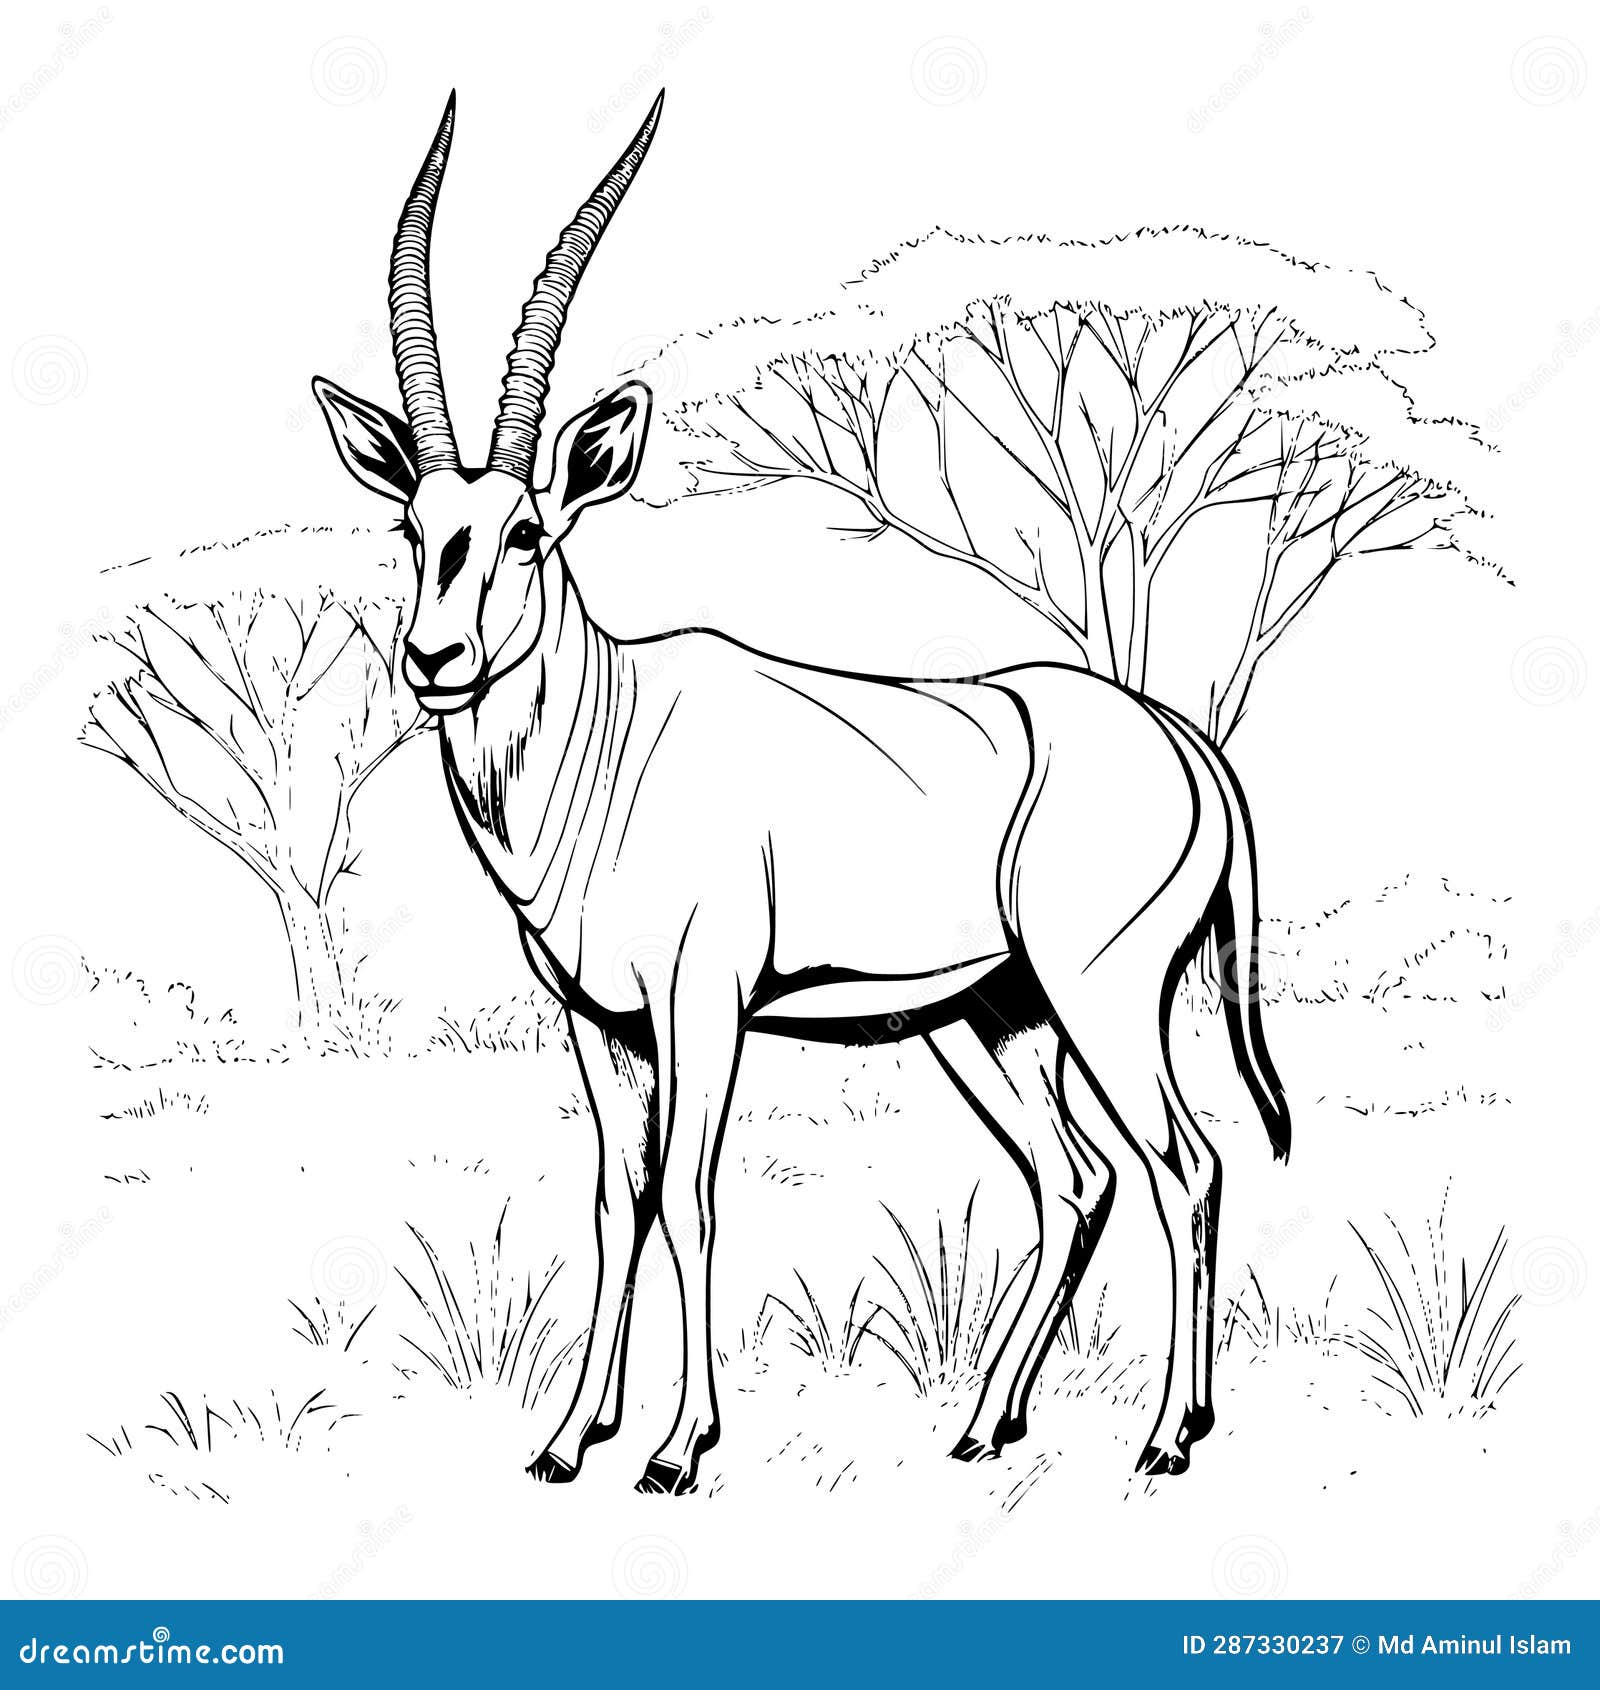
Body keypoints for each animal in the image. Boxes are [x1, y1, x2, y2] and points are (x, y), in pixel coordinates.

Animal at [312, 91, 1290, 1493]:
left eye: (527, 532)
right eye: (415, 529)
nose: (433, 660)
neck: (608, 737)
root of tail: (1181, 740)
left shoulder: (703, 1005)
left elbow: (693, 1197)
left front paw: (676, 1449)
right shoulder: (602, 1025)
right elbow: (618, 1198)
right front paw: (567, 1440)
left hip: (1100, 994)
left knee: (1185, 1164)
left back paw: (1168, 1434)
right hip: (994, 1020)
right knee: (1074, 1180)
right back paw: (986, 1424)